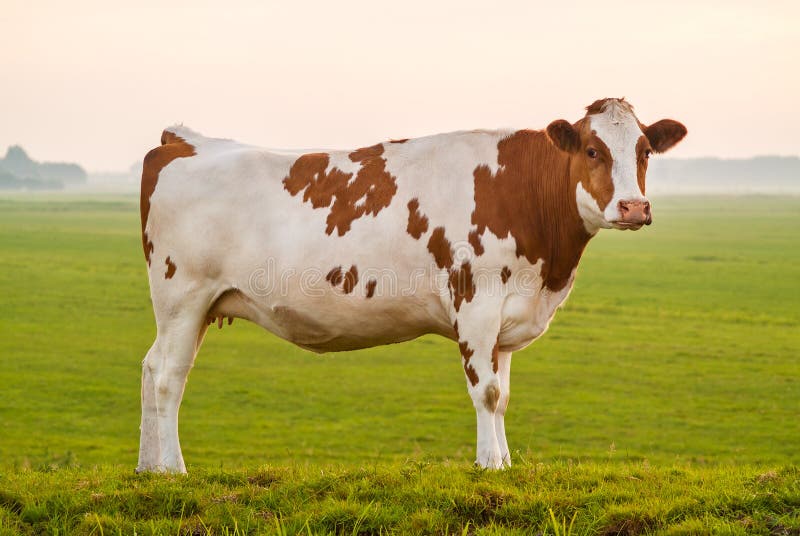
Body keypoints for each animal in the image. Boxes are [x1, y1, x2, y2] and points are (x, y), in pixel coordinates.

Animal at [137, 98, 686, 473]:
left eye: (644, 151)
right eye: (592, 150)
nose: (634, 207)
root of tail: (184, 140)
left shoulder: (509, 315)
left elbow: (504, 394)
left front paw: (506, 463)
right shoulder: (477, 303)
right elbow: (486, 392)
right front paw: (488, 465)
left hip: (194, 307)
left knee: (149, 367)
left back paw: (148, 469)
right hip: (182, 297)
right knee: (168, 376)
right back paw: (174, 470)